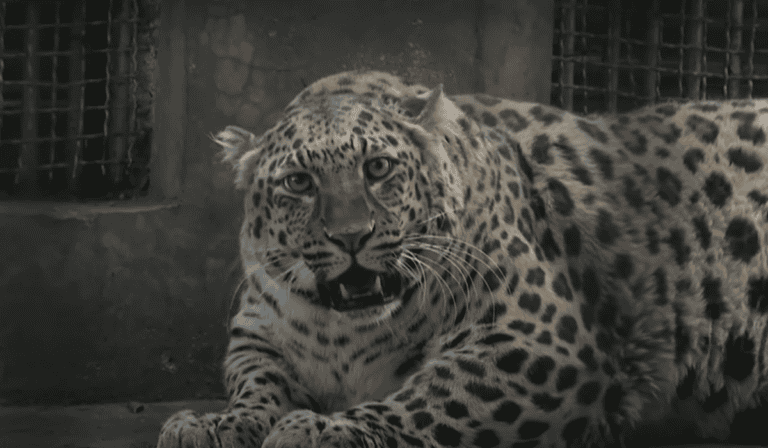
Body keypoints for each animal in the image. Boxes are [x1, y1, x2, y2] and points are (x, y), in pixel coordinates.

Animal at [157, 69, 768, 448]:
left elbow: (434, 396)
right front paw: (214, 423)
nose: (351, 237)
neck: (344, 334)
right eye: (299, 183)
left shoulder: (541, 339)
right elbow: (257, 384)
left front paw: (324, 430)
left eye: (378, 168)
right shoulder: (259, 335)